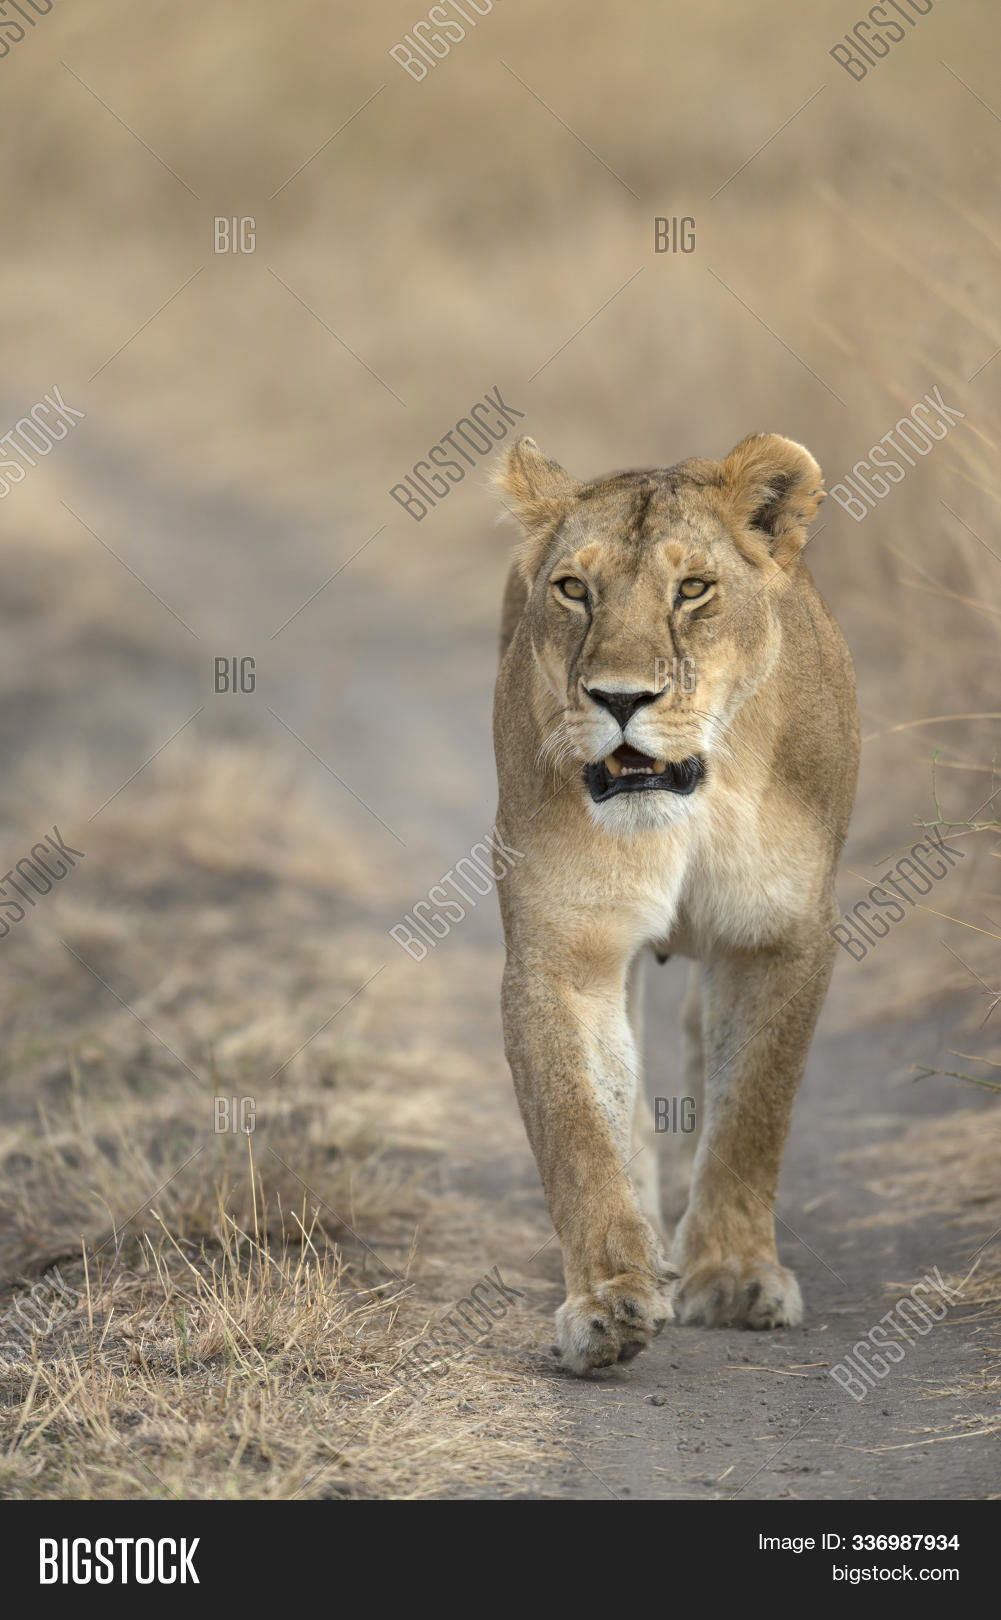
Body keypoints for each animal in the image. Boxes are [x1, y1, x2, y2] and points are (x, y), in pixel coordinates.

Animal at [492, 432, 859, 1374]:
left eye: (692, 589)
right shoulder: (563, 950)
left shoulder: (778, 939)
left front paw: (731, 1276)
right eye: (573, 589)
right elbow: (581, 1128)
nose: (620, 700)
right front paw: (608, 1298)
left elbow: (750, 1110)